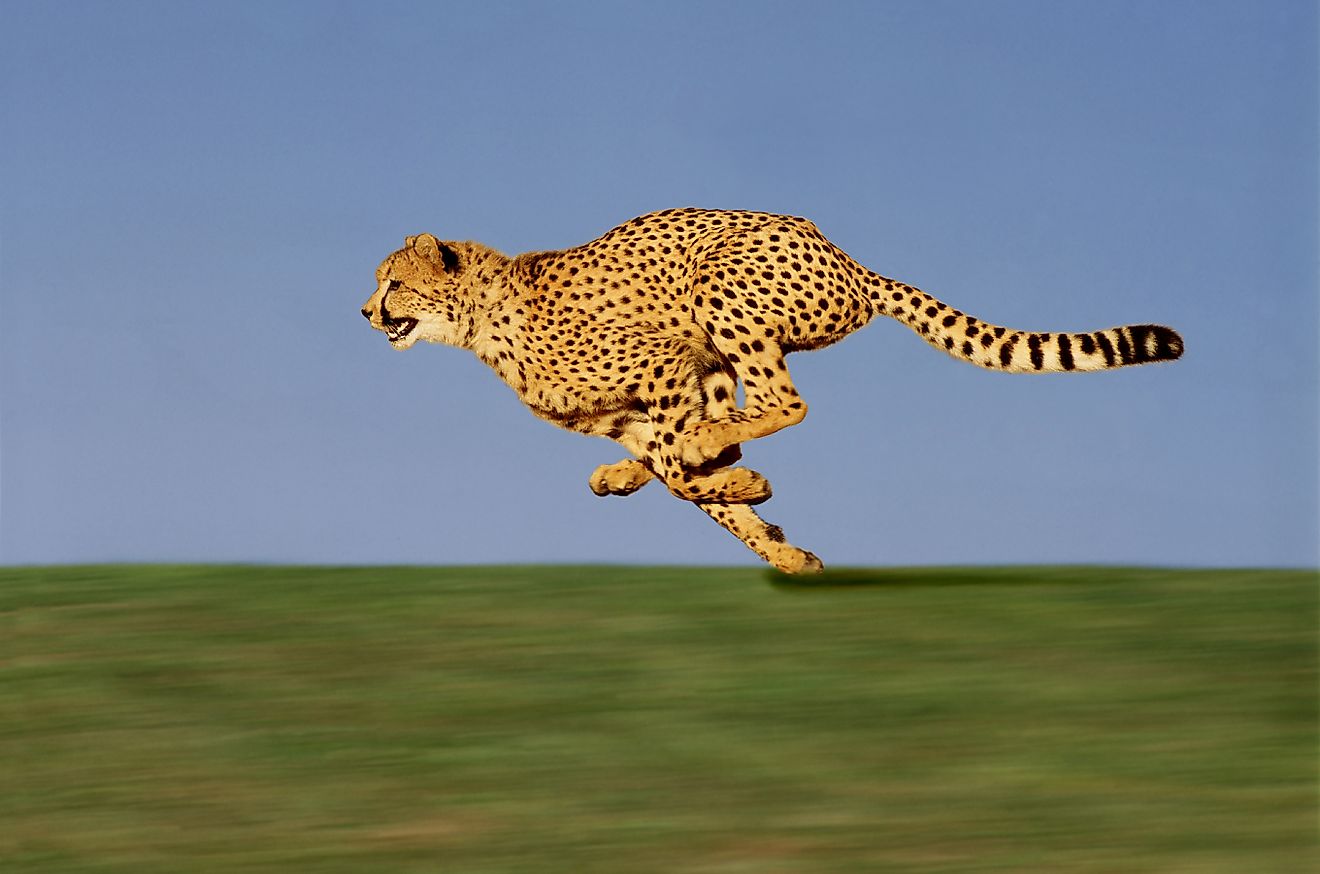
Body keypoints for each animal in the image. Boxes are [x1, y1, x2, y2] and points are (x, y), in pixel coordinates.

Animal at [361, 208, 1183, 573]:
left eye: (393, 283)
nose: (365, 312)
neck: (481, 318)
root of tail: (849, 260)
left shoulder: (663, 364)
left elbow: (686, 470)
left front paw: (751, 495)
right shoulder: (640, 406)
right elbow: (685, 479)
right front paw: (781, 548)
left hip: (717, 288)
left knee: (785, 403)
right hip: (720, 352)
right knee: (737, 415)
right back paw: (632, 475)